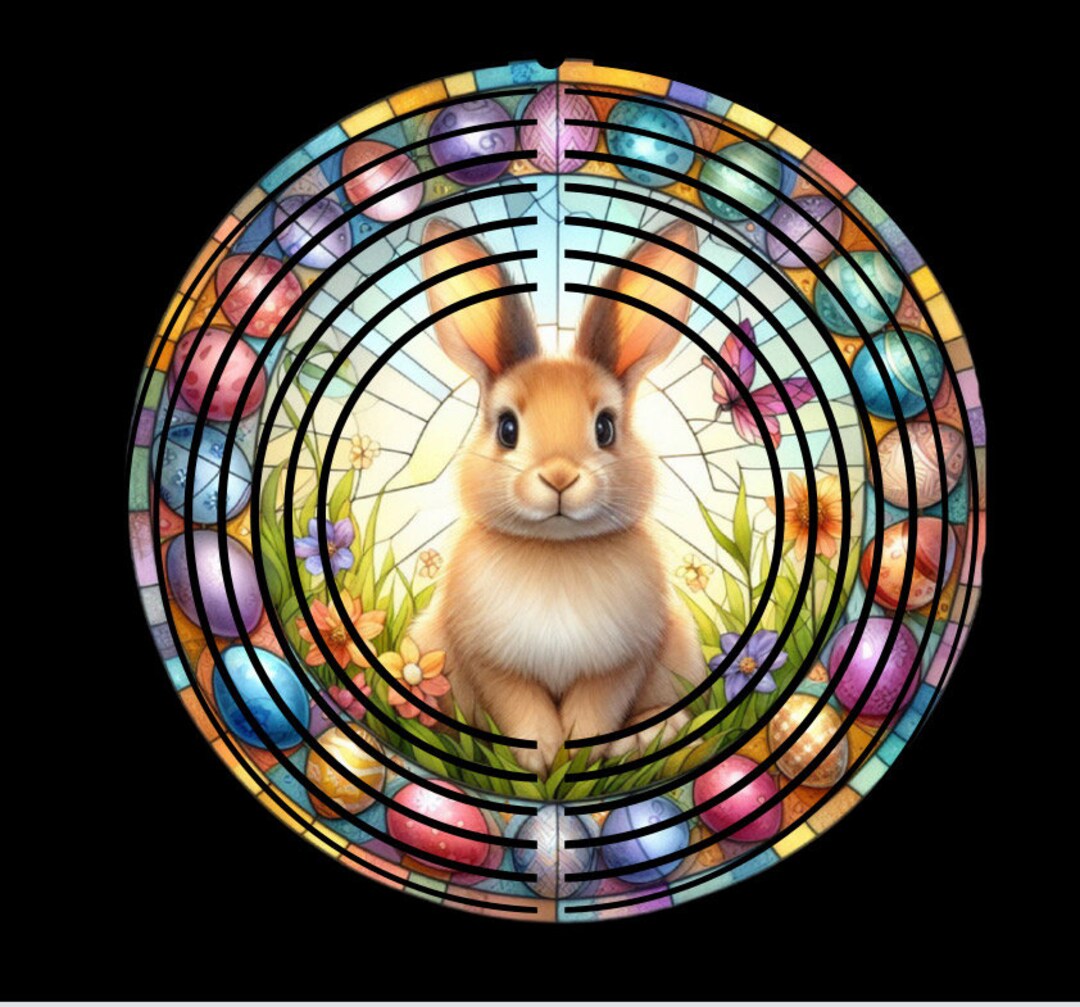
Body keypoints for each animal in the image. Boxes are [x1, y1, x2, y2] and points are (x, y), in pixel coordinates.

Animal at [408, 216, 707, 776]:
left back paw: (651, 734)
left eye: (605, 427)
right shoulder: (490, 662)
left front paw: (578, 759)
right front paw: (541, 759)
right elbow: (522, 709)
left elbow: (594, 712)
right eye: (507, 428)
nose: (561, 478)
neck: (556, 551)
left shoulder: (621, 662)